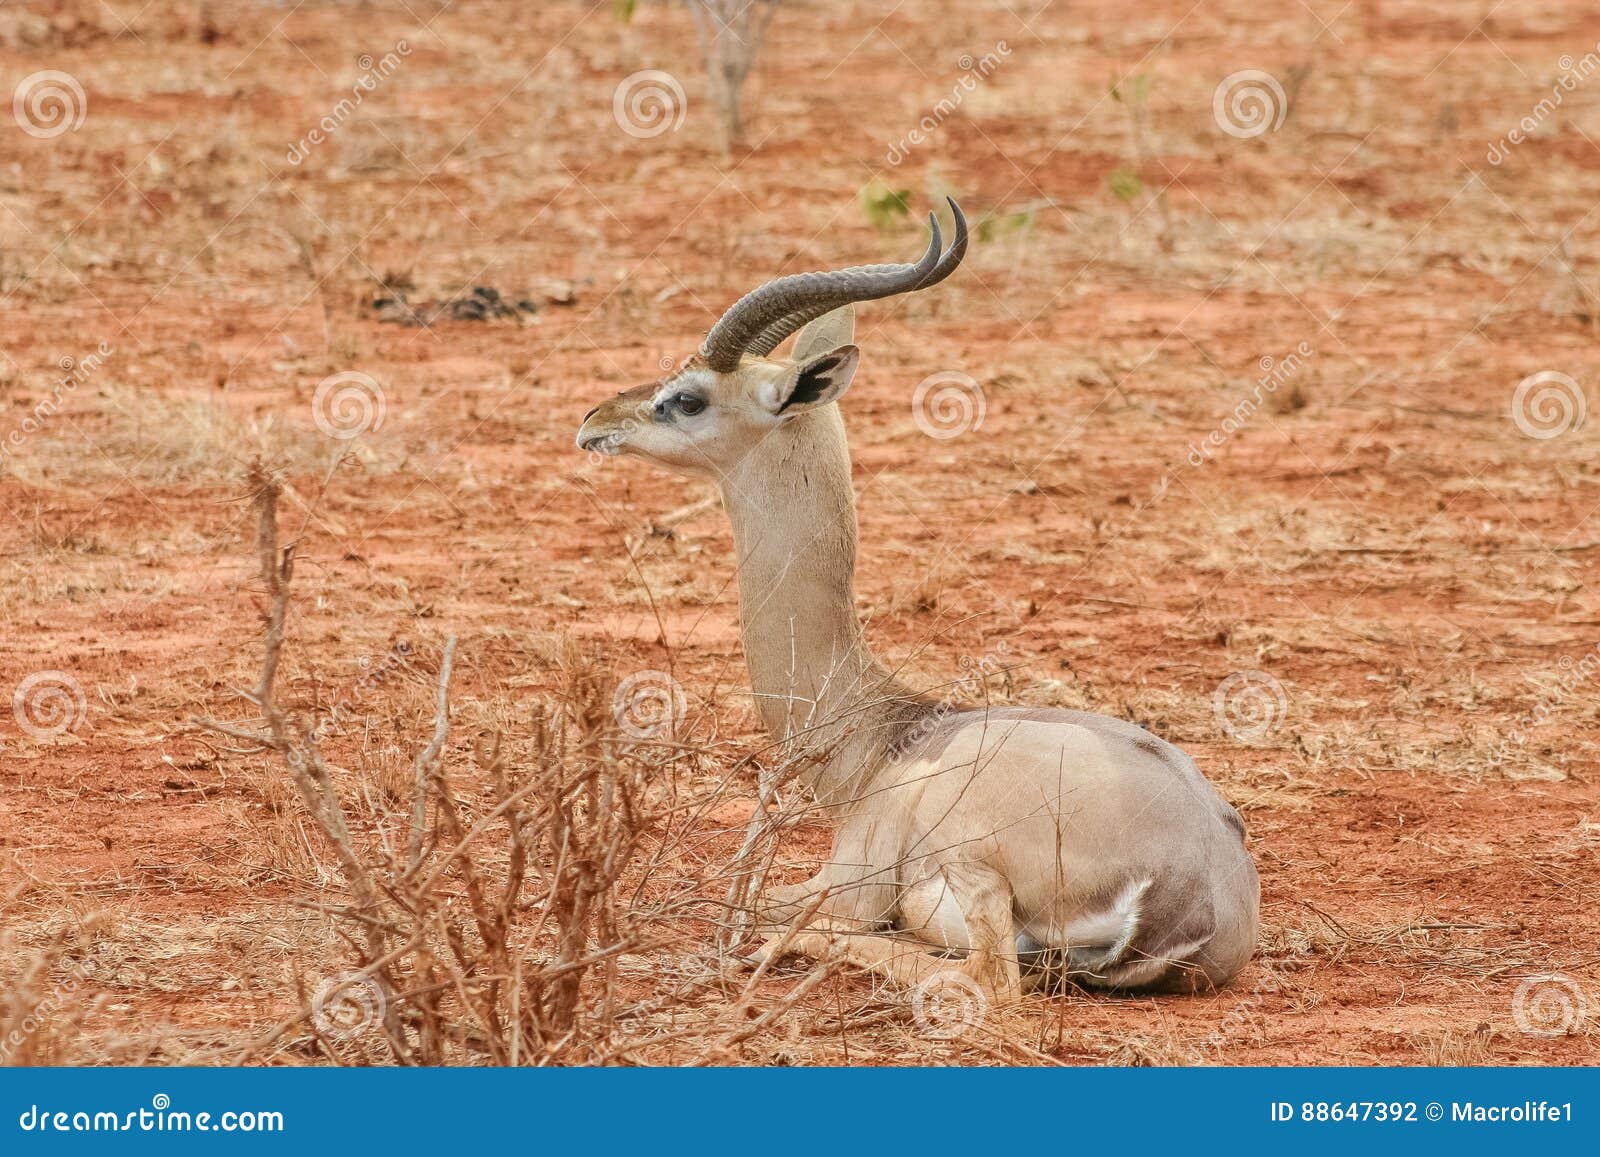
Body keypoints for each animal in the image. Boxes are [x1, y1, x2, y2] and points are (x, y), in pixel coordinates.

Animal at [576, 200, 1259, 999]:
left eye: (685, 398)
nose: (594, 420)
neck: (880, 734)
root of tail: (1190, 894)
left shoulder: (849, 876)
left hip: (965, 865)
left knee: (980, 975)